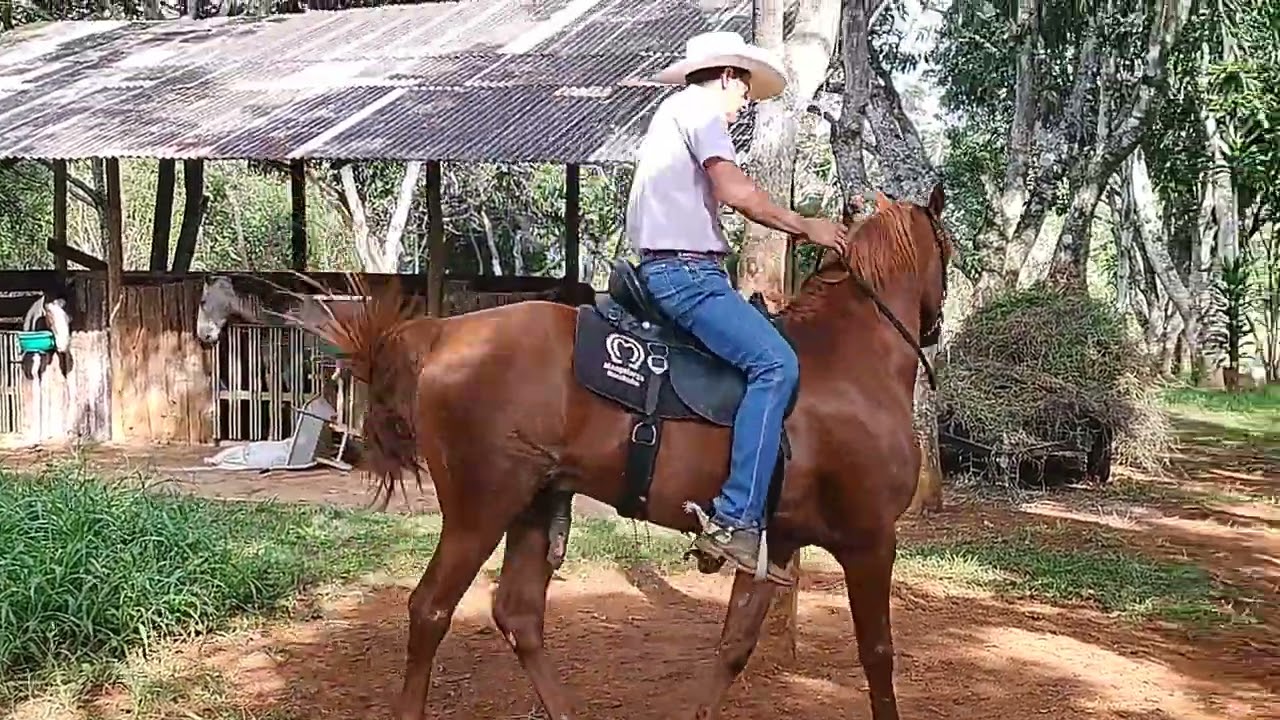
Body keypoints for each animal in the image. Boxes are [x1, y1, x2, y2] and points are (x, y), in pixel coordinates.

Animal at [283, 186, 953, 720]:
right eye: (947, 248)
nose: (934, 326)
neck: (850, 358)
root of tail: (444, 331)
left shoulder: (777, 545)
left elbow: (734, 646)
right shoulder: (870, 541)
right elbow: (877, 653)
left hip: (535, 504)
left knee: (517, 615)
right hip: (480, 511)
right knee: (430, 610)